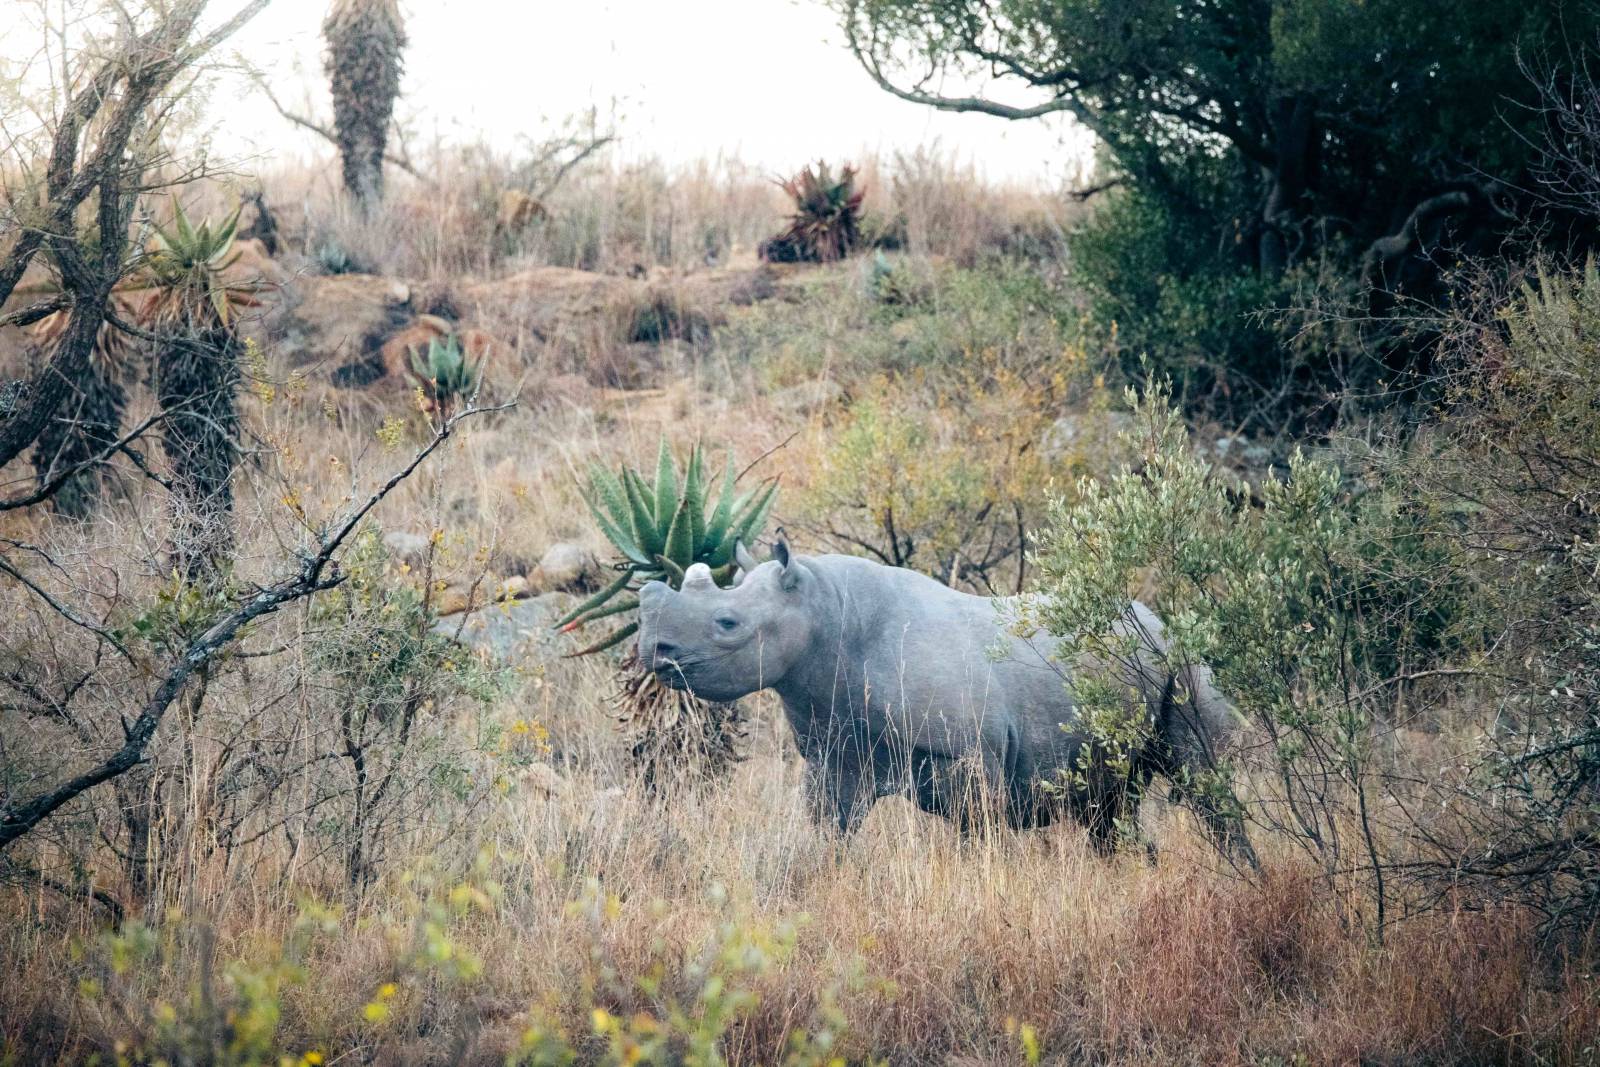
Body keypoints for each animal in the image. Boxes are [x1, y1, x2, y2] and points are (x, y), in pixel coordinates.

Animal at [636, 535, 1255, 863]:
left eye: (727, 623)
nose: (652, 649)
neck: (822, 613)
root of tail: (1154, 618)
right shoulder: (835, 753)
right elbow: (830, 826)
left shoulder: (965, 755)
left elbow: (977, 831)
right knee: (1109, 805)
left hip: (1179, 658)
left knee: (1201, 775)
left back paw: (1240, 872)